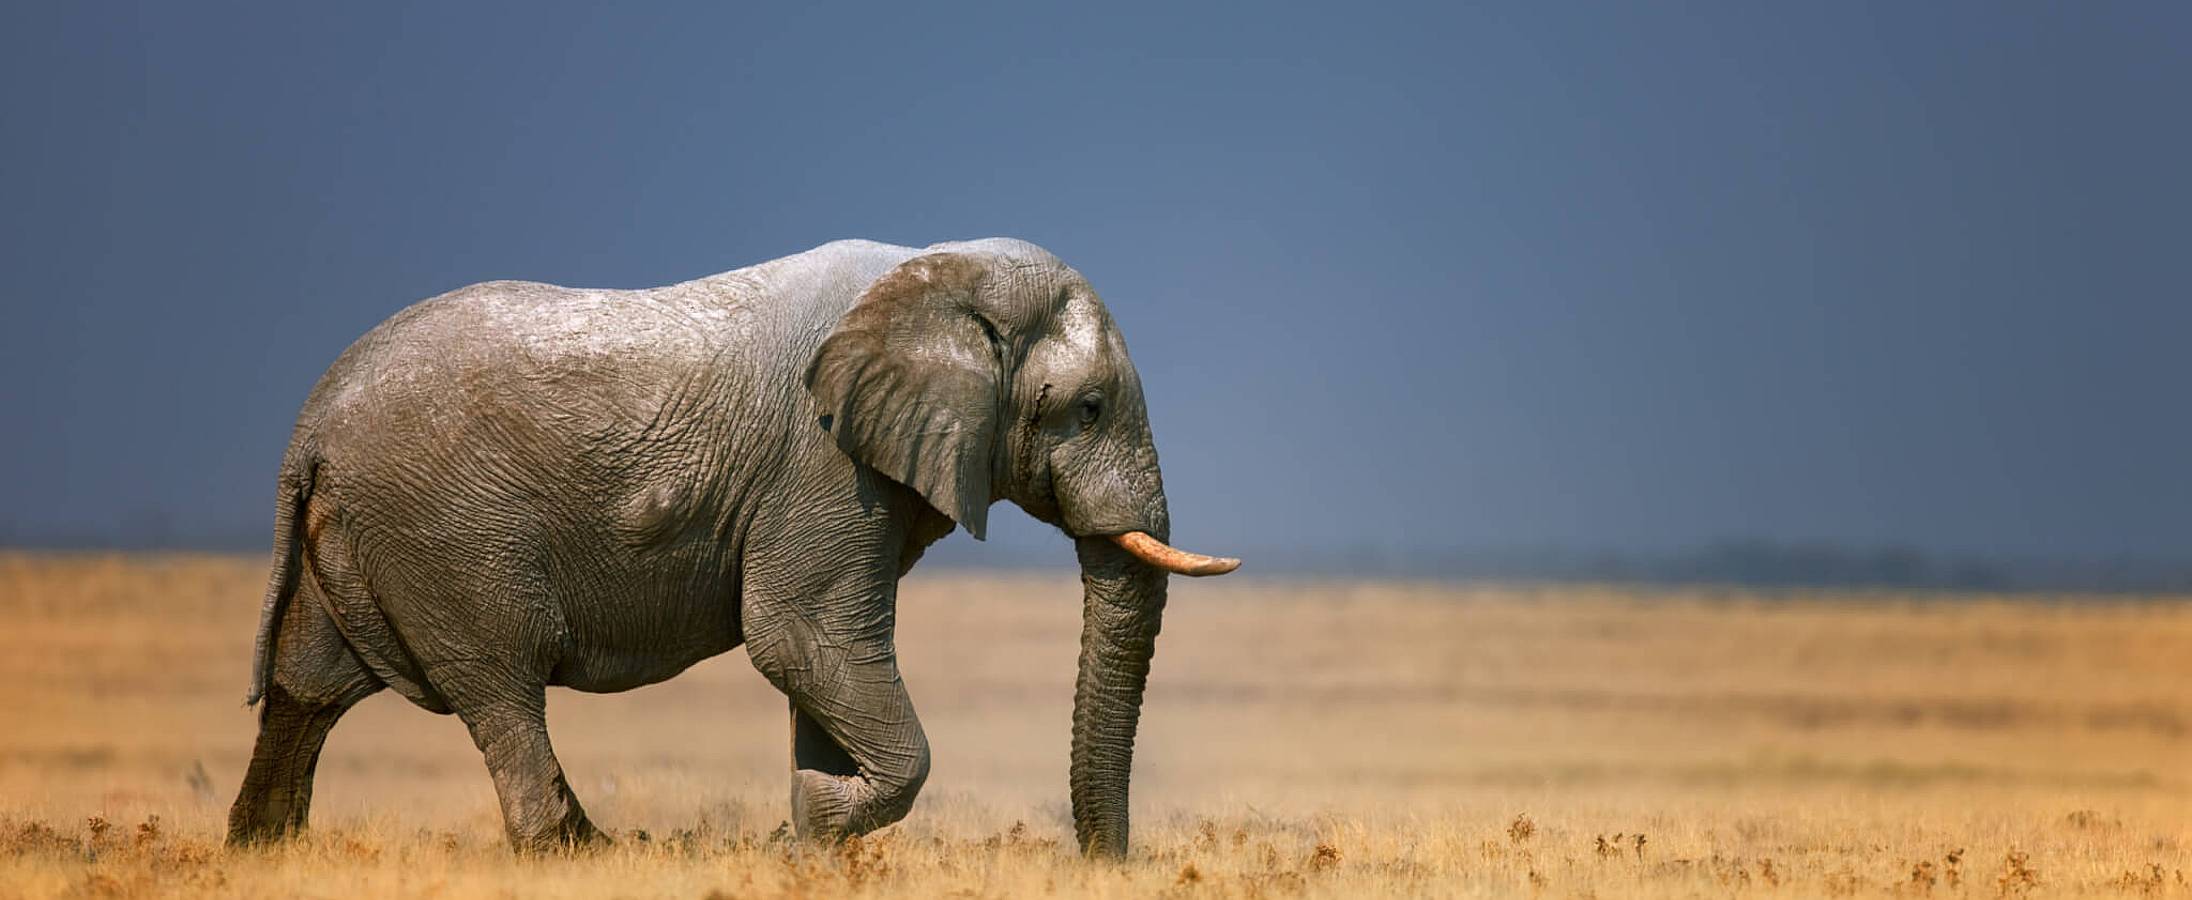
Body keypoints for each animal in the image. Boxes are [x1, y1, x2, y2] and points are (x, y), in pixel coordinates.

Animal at [224, 237, 1239, 857]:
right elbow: (797, 638)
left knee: (311, 685)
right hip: (447, 532)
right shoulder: (821, 462)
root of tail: (310, 426)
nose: (1105, 866)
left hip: (366, 533)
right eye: (1090, 408)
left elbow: (821, 658)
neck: (940, 275)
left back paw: (263, 850)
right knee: (501, 686)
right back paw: (581, 855)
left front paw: (810, 835)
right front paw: (809, 828)